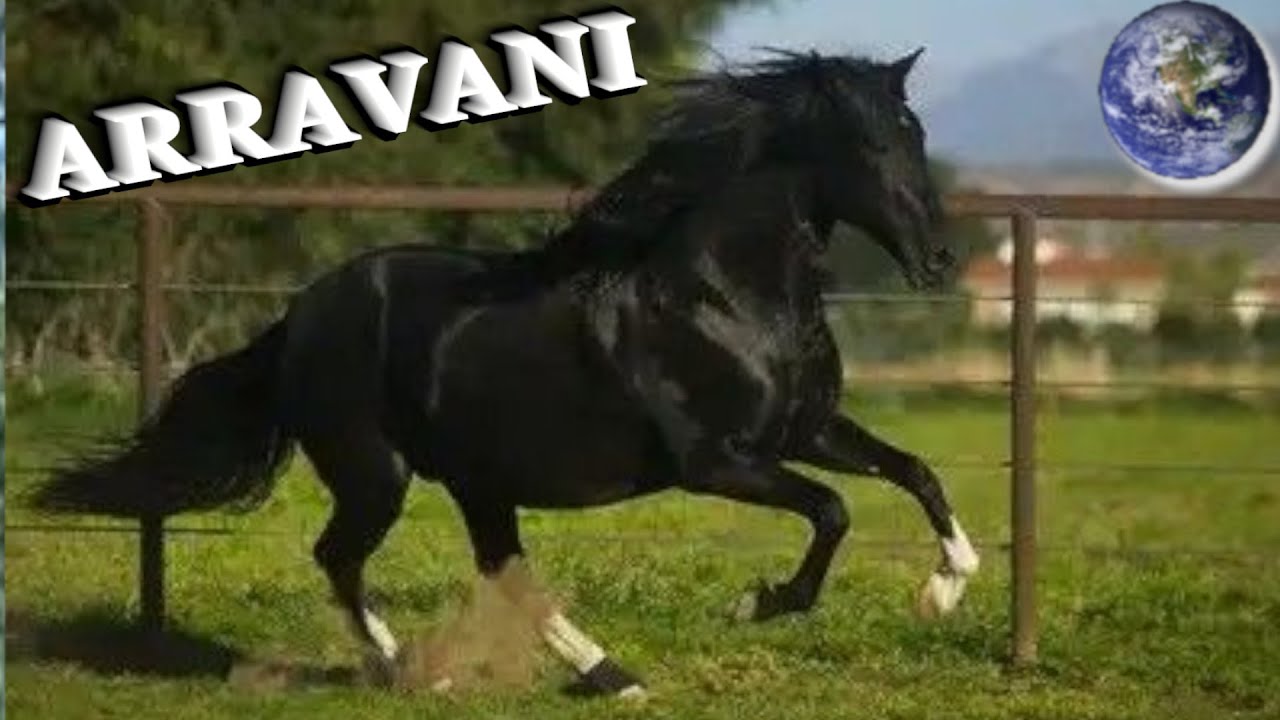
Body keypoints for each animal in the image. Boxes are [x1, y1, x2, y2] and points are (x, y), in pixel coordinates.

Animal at [31, 48, 979, 698]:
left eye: (918, 137)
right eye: (870, 144)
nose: (938, 261)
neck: (724, 294)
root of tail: (302, 313)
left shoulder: (803, 429)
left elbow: (917, 472)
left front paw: (947, 587)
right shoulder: (716, 461)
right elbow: (836, 510)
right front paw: (758, 605)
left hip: (476, 479)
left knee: (502, 568)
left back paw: (612, 677)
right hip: (378, 473)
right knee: (342, 556)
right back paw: (410, 667)